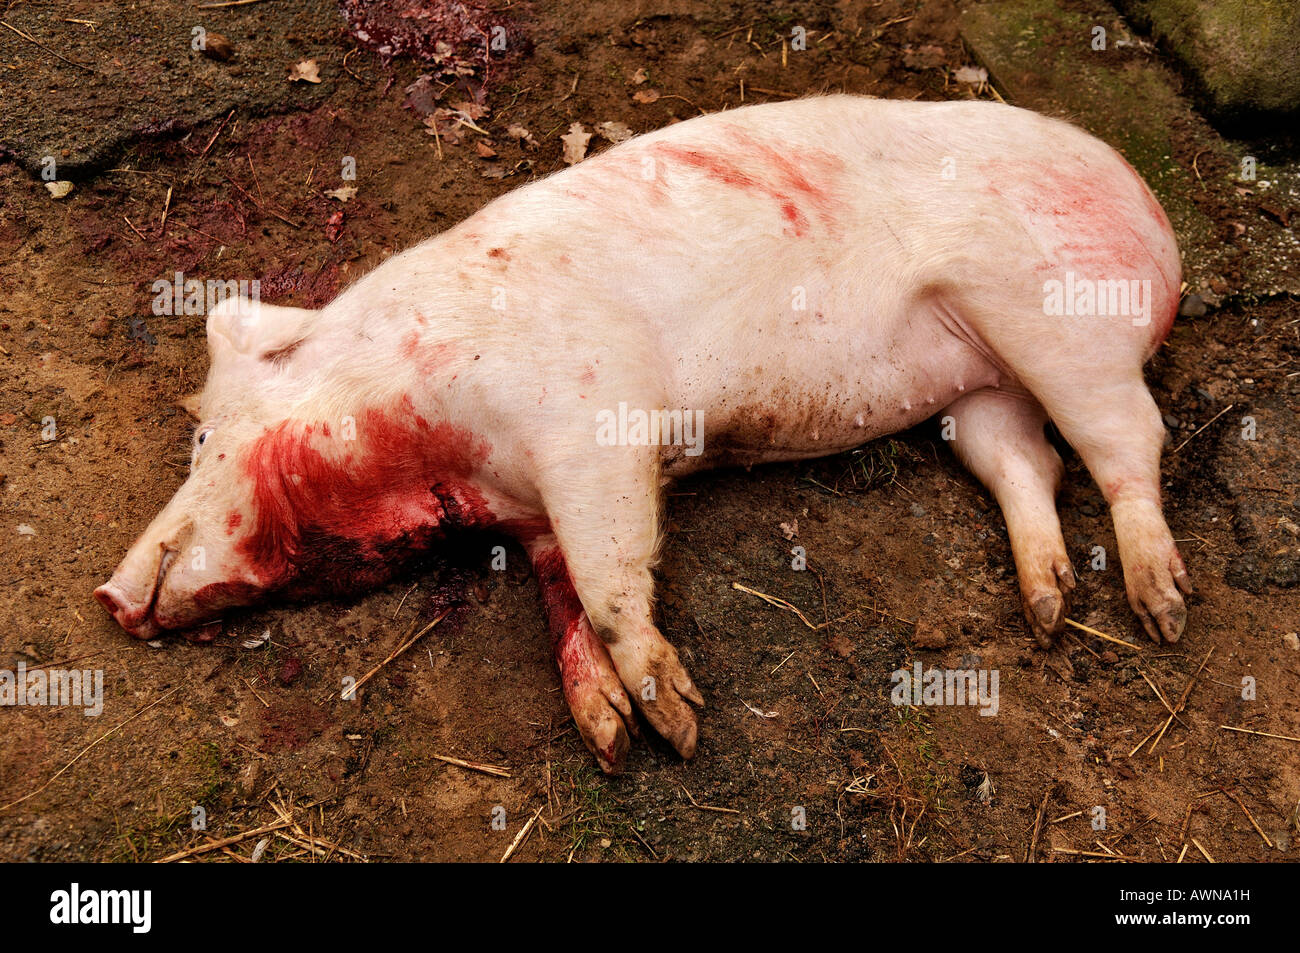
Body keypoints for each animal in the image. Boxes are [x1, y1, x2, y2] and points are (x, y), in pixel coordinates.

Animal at [95, 95, 1192, 773]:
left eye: (204, 442)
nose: (107, 593)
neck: (442, 450)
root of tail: (1150, 206)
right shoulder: (532, 511)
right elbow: (562, 597)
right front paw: (609, 733)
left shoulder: (592, 419)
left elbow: (609, 574)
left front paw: (678, 722)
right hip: (982, 383)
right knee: (1026, 463)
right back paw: (1047, 607)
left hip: (1058, 321)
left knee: (1130, 444)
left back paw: (1160, 608)